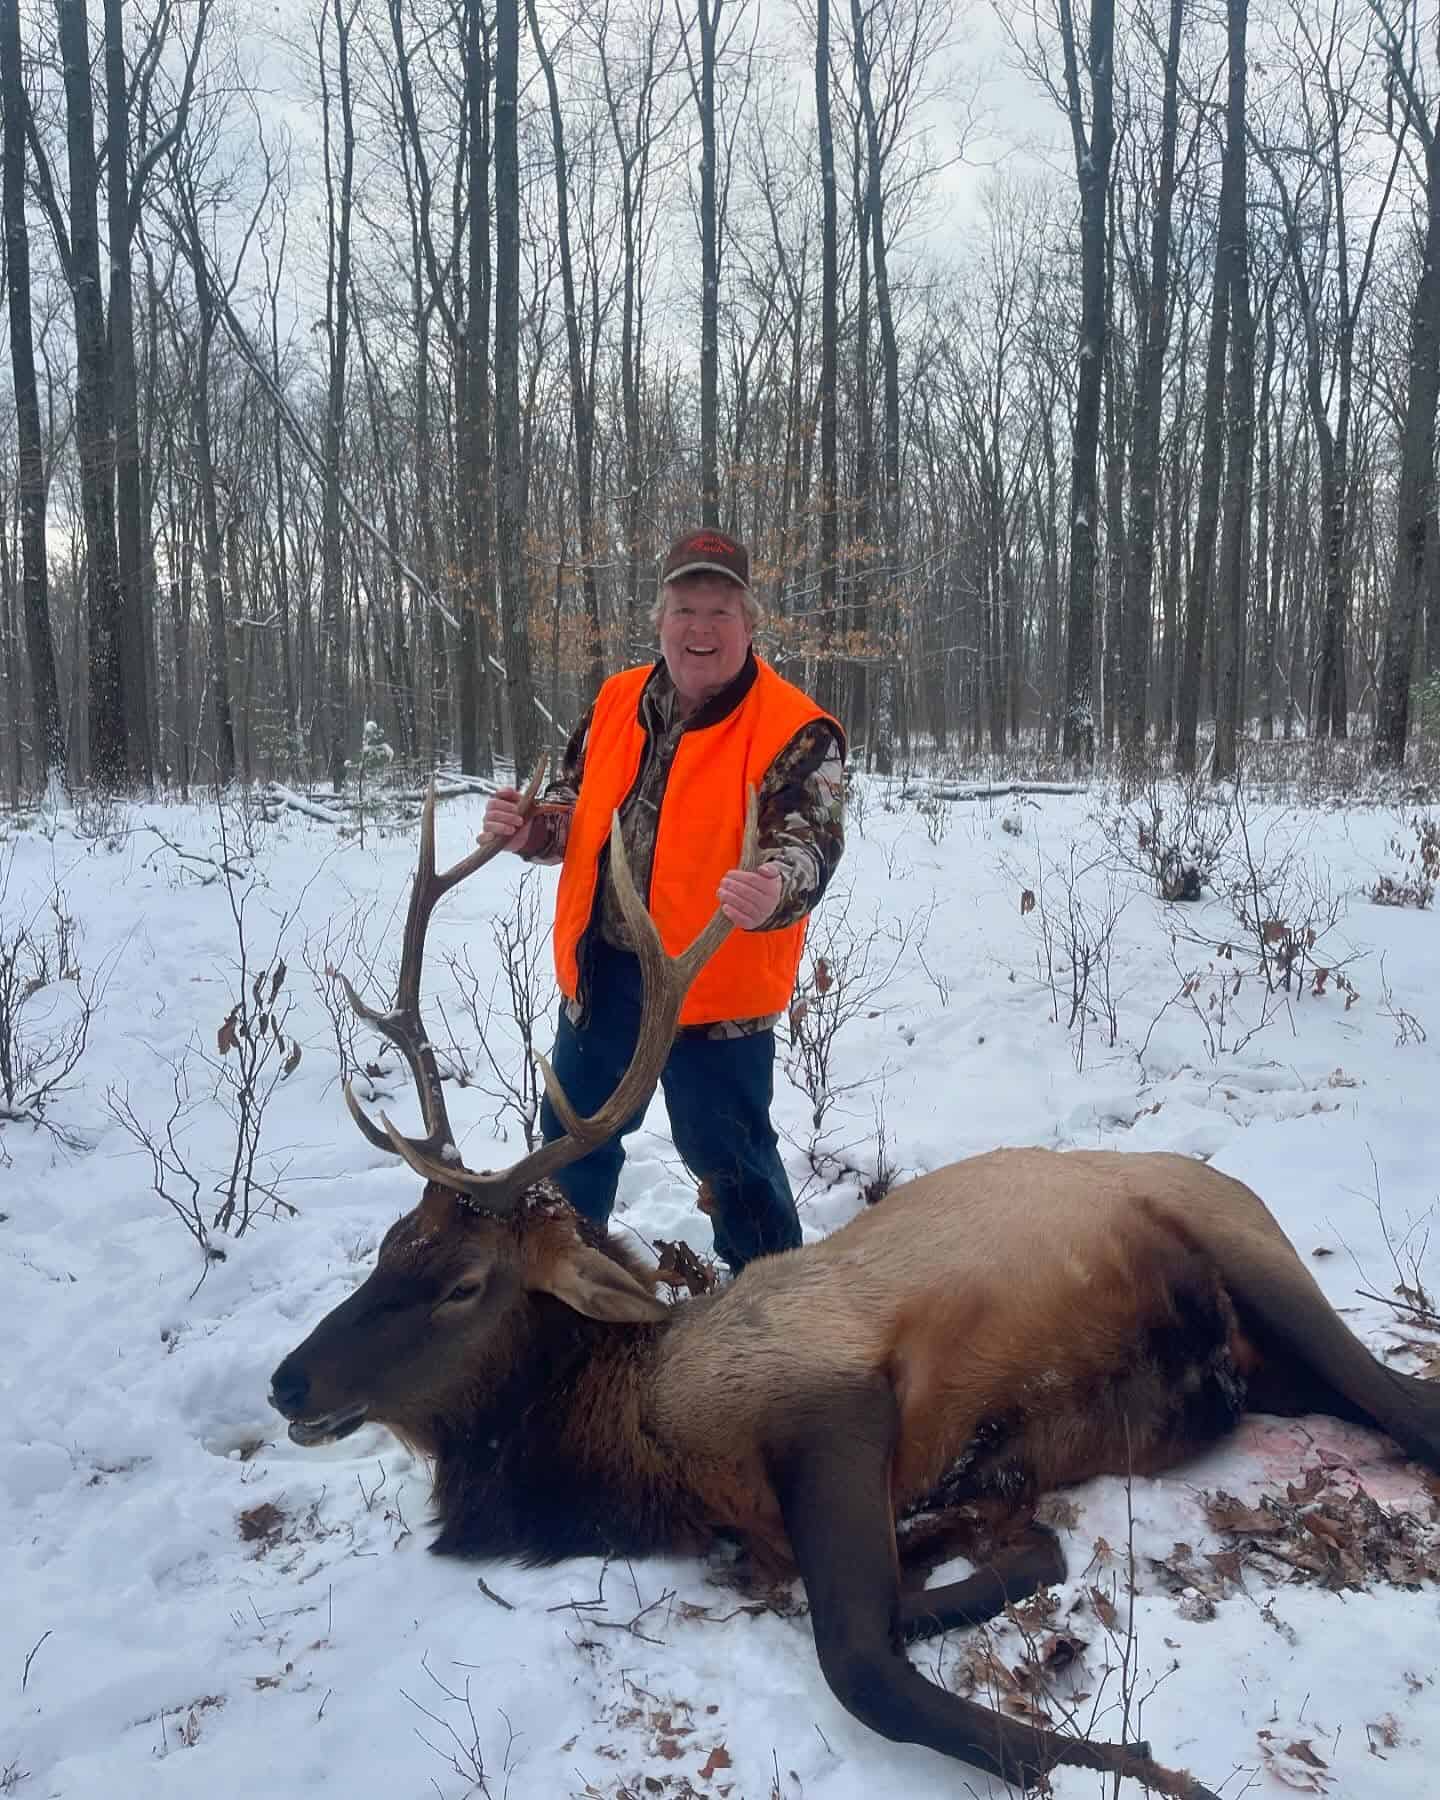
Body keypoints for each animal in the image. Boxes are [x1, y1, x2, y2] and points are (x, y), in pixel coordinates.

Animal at [270, 774, 1440, 1800]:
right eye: (389, 1245)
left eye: (463, 1283)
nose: (289, 1382)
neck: (641, 1455)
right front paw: (1011, 1544)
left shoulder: (828, 1405)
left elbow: (863, 1663)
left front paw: (1145, 1765)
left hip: (1249, 1252)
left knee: (1405, 1401)